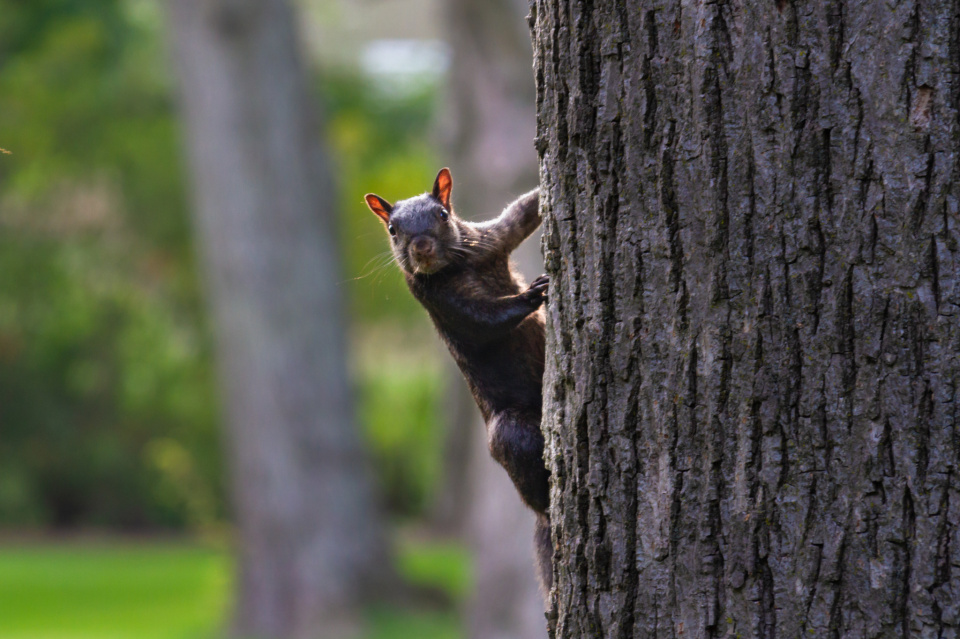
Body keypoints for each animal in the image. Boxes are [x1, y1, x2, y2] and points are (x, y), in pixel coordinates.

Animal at [365, 168, 552, 591]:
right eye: (393, 230)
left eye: (443, 215)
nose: (420, 248)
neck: (456, 265)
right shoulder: (438, 301)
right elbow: (486, 322)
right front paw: (531, 296)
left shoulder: (491, 239)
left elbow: (522, 214)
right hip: (509, 431)